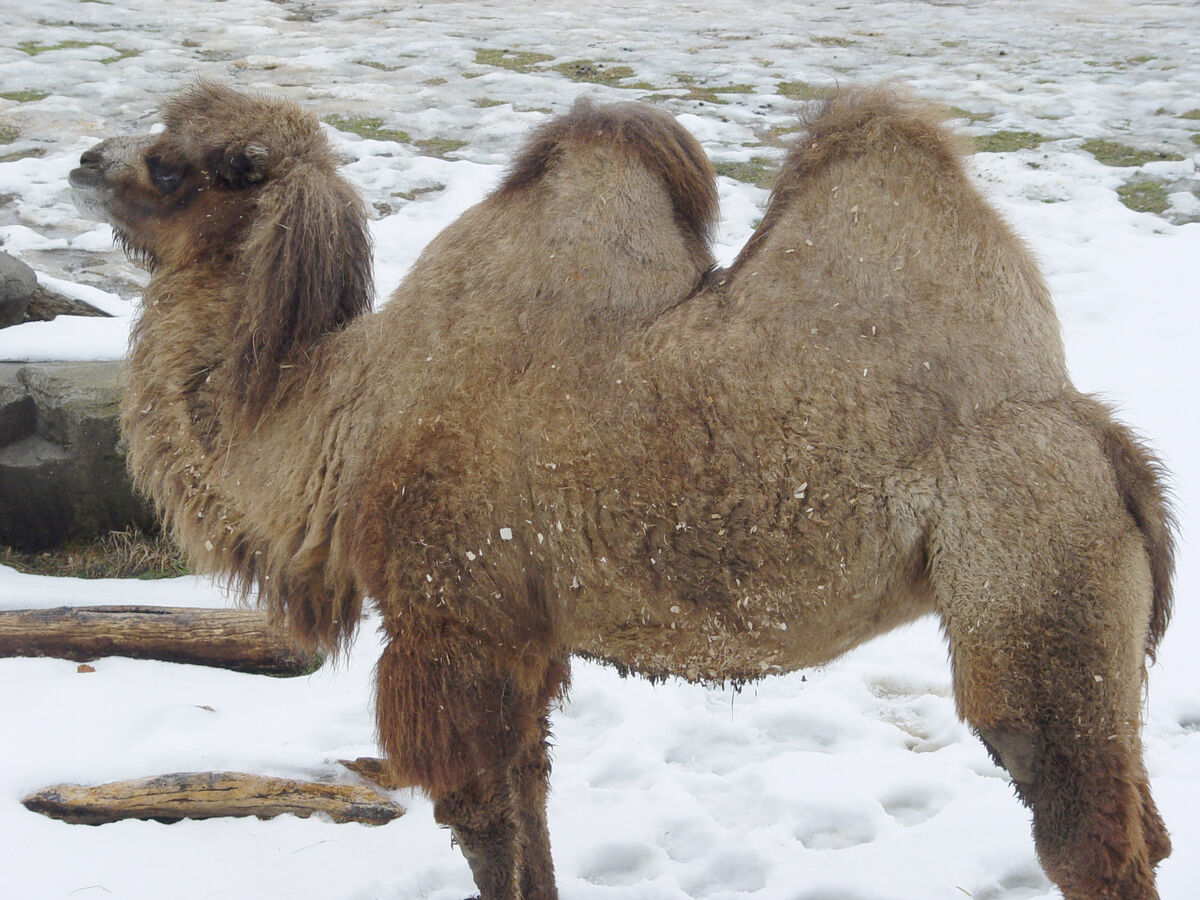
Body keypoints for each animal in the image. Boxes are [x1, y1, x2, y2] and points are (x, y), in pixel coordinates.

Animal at [70, 82, 1174, 899]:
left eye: (173, 164)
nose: (83, 162)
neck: (340, 426)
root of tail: (1104, 440)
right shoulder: (524, 634)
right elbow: (532, 809)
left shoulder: (452, 622)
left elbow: (489, 829)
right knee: (1141, 823)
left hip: (1030, 569)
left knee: (1082, 827)